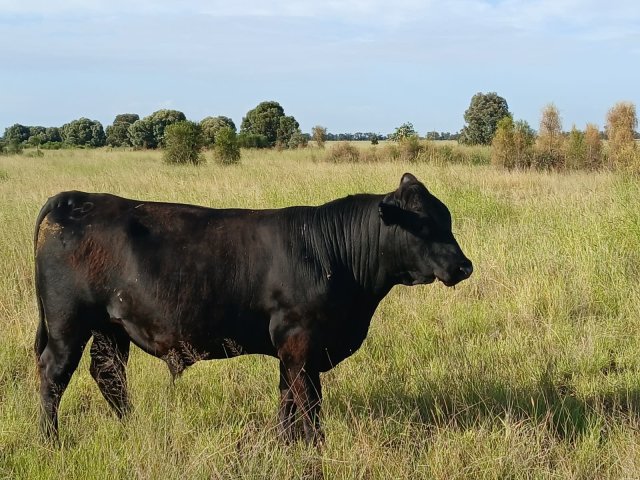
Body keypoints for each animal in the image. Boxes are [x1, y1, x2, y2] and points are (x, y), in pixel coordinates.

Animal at [34, 172, 472, 445]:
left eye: (447, 219)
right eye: (422, 225)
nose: (463, 266)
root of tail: (73, 199)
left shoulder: (293, 351)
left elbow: (288, 401)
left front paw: (285, 445)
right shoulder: (300, 343)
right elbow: (309, 405)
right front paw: (314, 448)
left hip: (110, 327)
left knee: (109, 375)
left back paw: (131, 426)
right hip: (67, 324)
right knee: (54, 376)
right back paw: (52, 441)